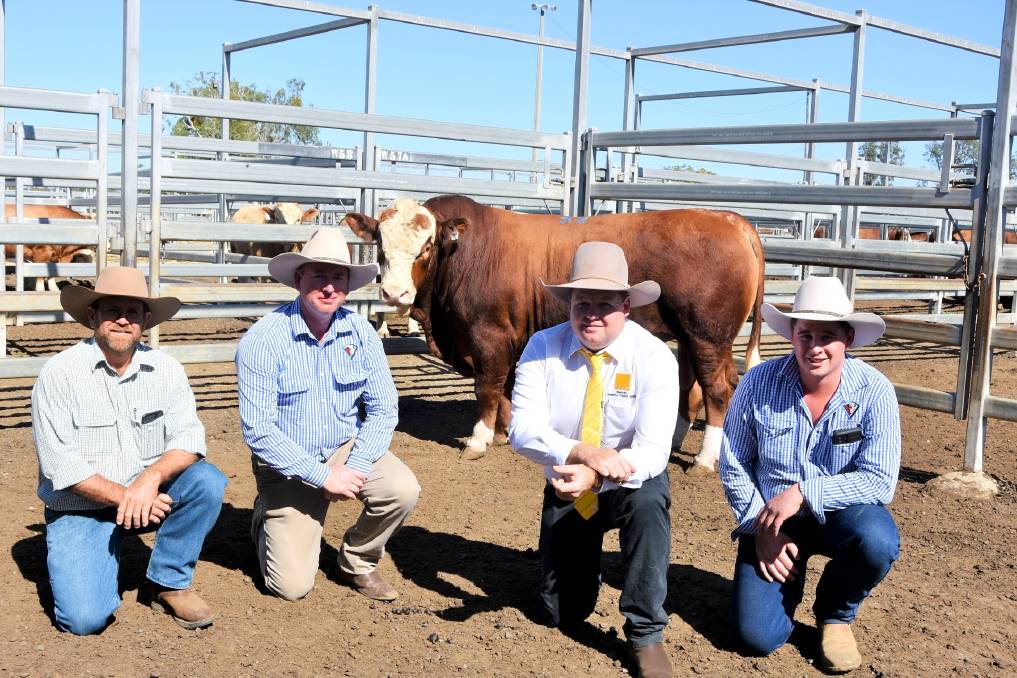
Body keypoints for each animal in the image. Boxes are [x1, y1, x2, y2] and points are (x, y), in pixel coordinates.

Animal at [343, 195, 765, 473]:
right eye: (379, 243)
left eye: (427, 246)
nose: (394, 293)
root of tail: (730, 220)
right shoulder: (509, 339)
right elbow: (508, 387)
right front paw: (506, 432)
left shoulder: (489, 334)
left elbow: (487, 387)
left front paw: (479, 439)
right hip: (691, 336)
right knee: (693, 385)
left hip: (708, 335)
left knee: (717, 390)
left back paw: (705, 459)